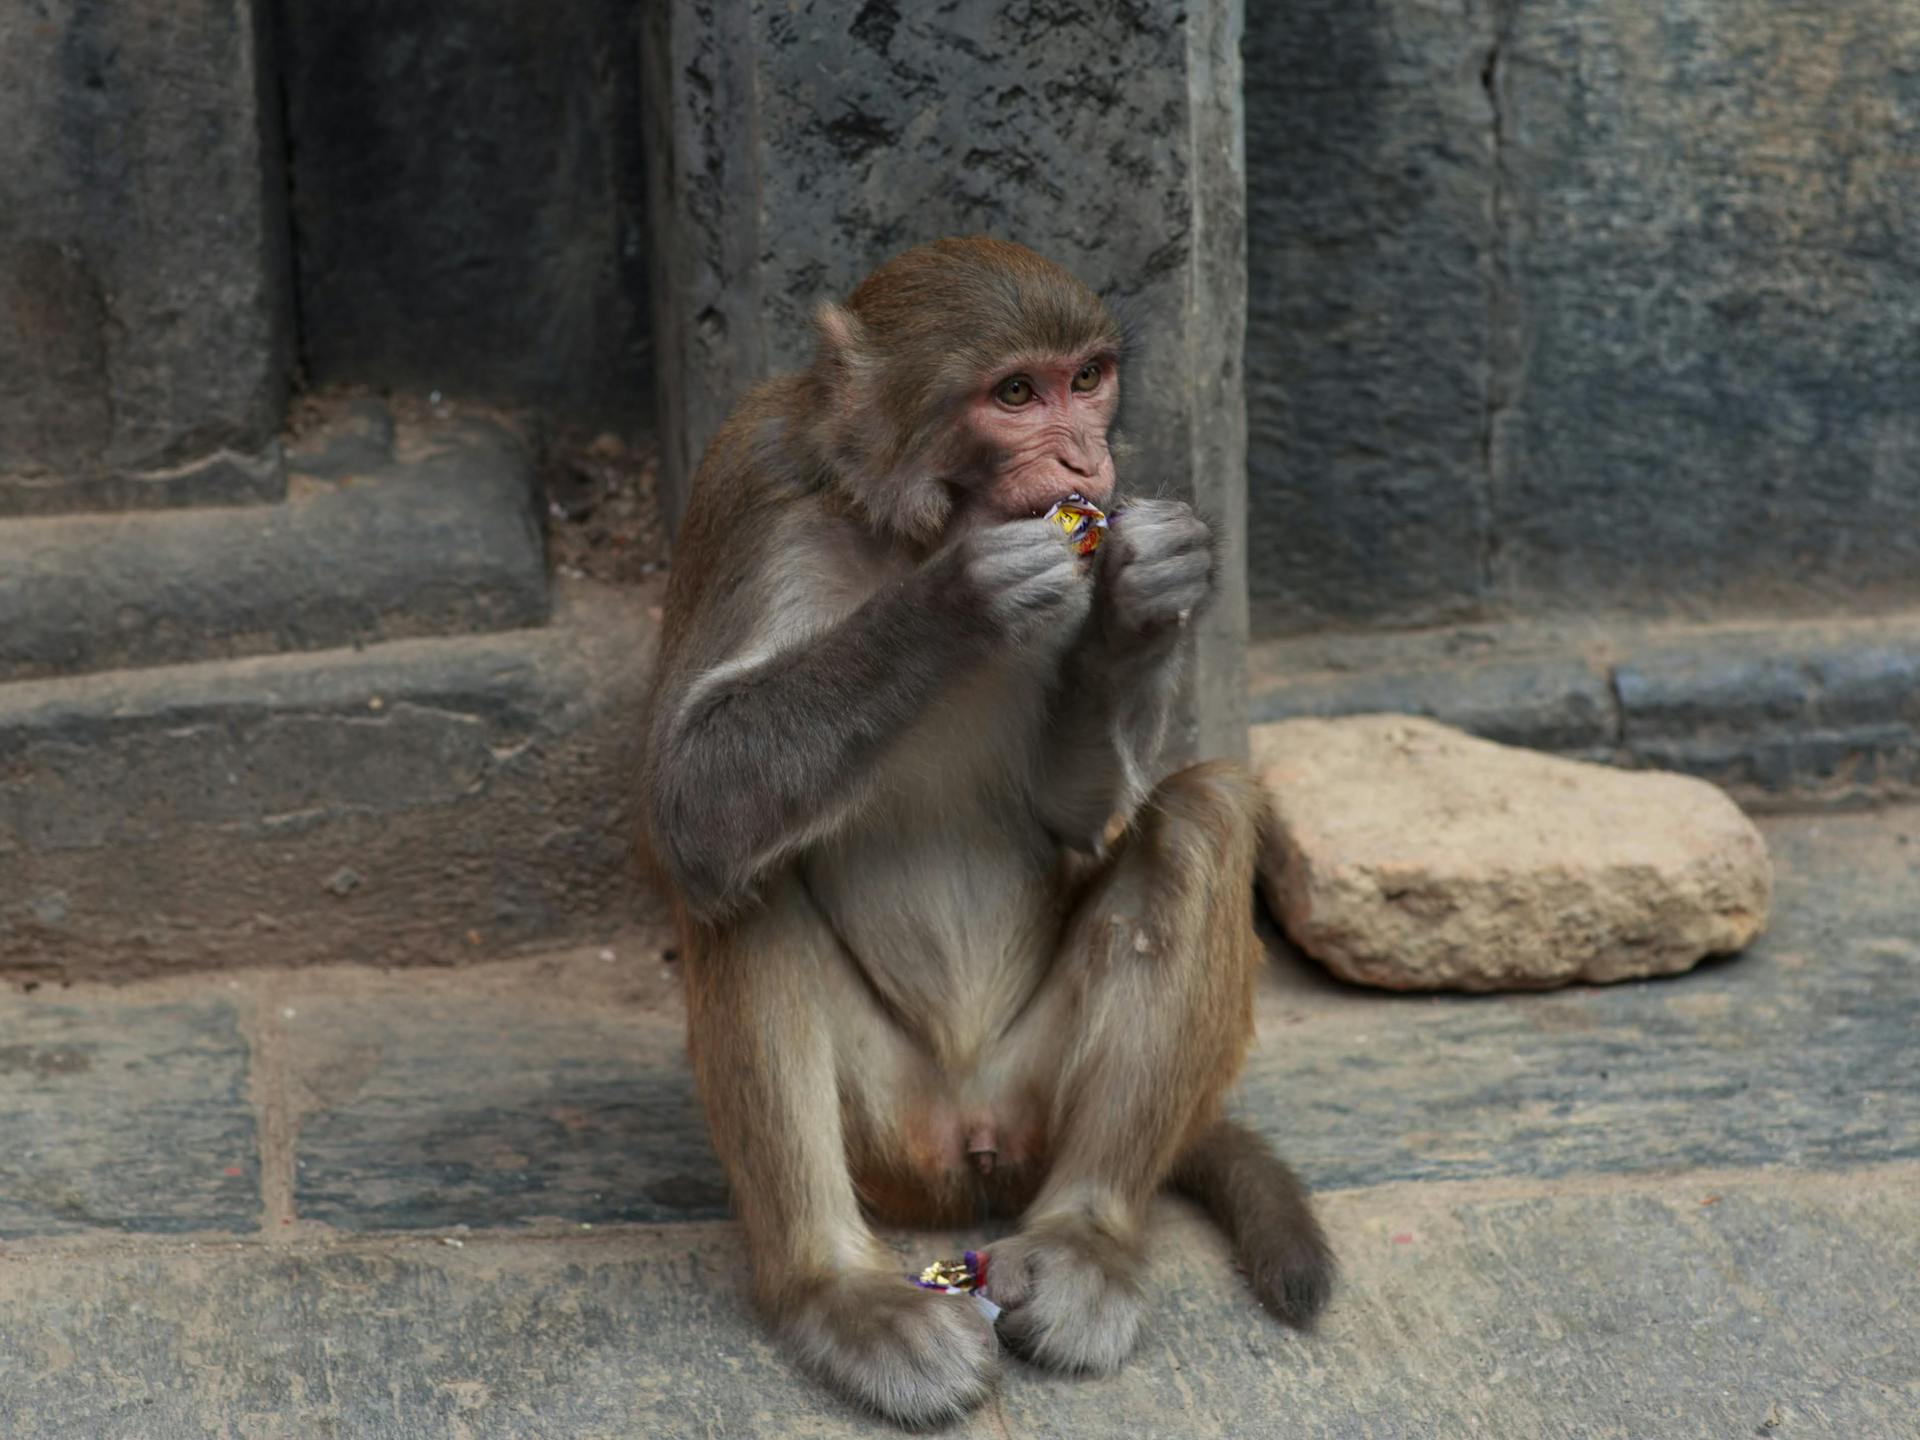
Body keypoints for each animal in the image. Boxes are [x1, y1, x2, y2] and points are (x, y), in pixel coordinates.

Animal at [641, 236, 1332, 1425]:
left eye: (1086, 378)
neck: (906, 523)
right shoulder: (749, 482)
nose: (1086, 457)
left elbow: (1073, 811)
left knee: (1199, 816)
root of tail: (965, 1145)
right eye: (1015, 395)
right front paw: (953, 604)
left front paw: (1143, 596)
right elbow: (687, 798)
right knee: (738, 875)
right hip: (885, 1129)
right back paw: (836, 1290)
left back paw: (1088, 1237)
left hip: (1035, 1098)